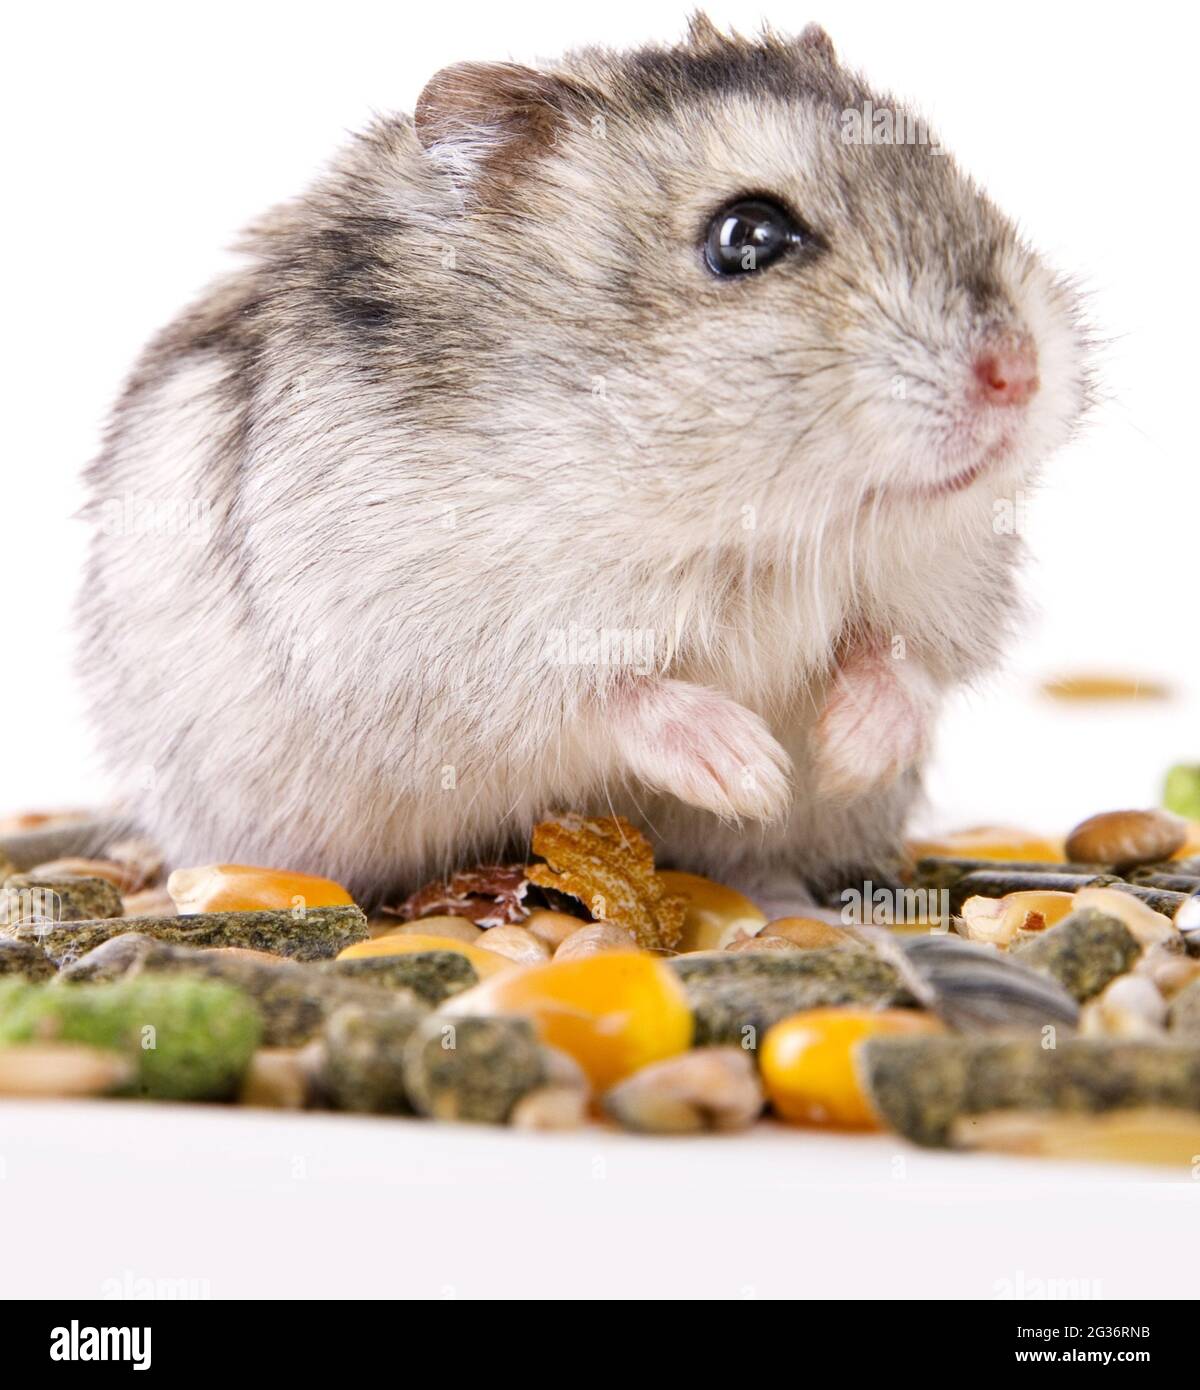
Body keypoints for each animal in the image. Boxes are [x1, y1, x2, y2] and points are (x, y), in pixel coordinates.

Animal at [78, 16, 1090, 913]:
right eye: (748, 235)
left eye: (945, 169)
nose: (1020, 374)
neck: (740, 524)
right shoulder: (444, 644)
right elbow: (607, 693)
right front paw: (749, 768)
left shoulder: (943, 577)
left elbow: (904, 656)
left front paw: (847, 752)